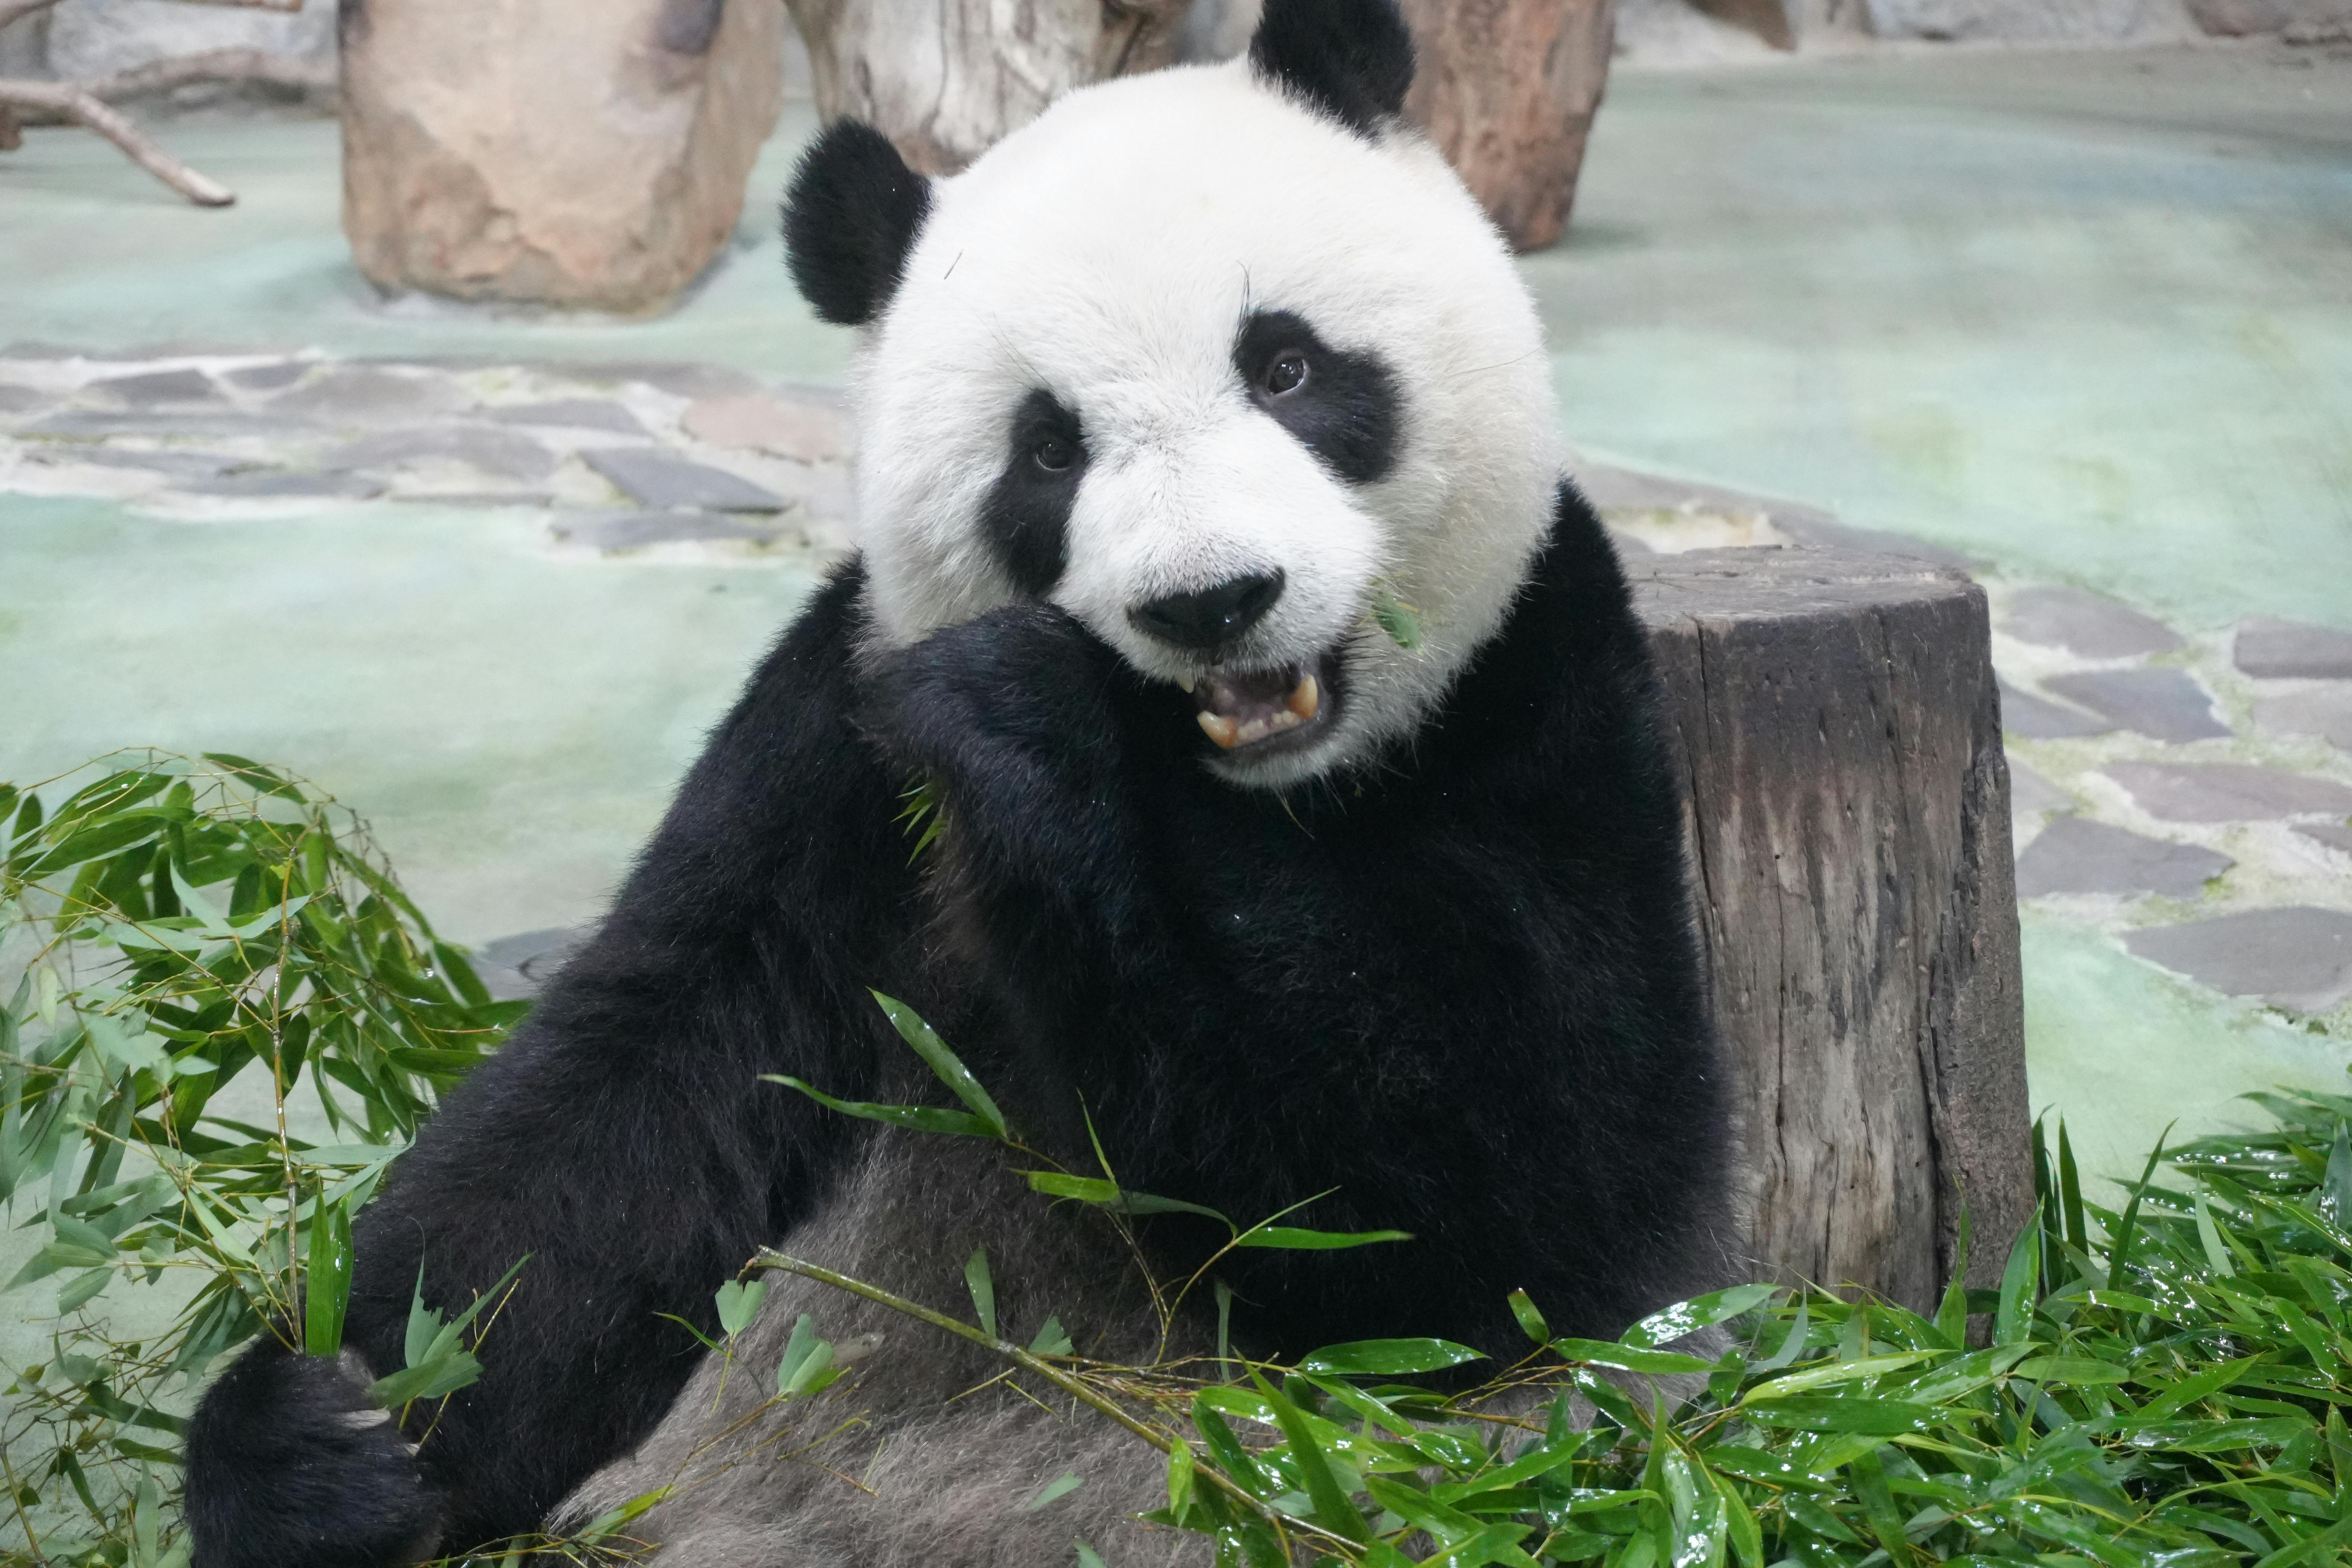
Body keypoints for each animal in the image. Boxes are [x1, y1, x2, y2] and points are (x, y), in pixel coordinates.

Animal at [181, 1, 1727, 1563]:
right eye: (1046, 450)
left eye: (1285, 367)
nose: (1211, 602)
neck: (1268, 791)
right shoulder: (835, 744)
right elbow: (623, 1115)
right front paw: (320, 1440)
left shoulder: (1537, 682)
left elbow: (1515, 1208)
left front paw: (1031, 723)